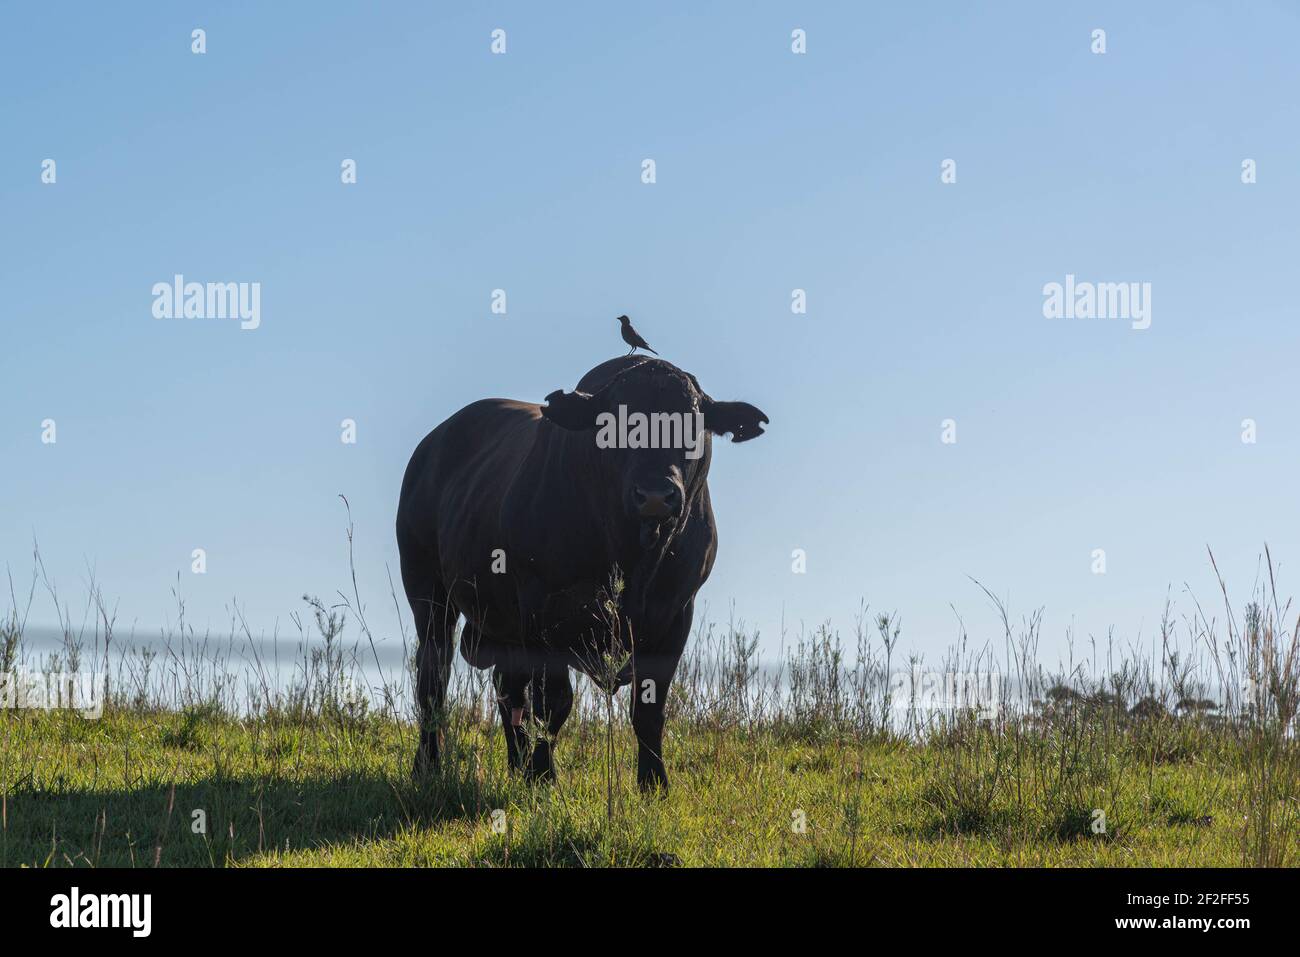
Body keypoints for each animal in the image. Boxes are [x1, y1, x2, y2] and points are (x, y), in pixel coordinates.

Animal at [396, 355, 768, 792]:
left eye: (693, 422)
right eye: (614, 422)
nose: (655, 495)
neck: (634, 558)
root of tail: (432, 444)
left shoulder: (677, 613)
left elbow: (650, 707)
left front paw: (654, 783)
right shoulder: (542, 608)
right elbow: (554, 702)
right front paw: (544, 777)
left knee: (508, 690)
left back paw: (516, 764)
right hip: (428, 591)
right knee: (434, 681)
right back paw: (429, 765)